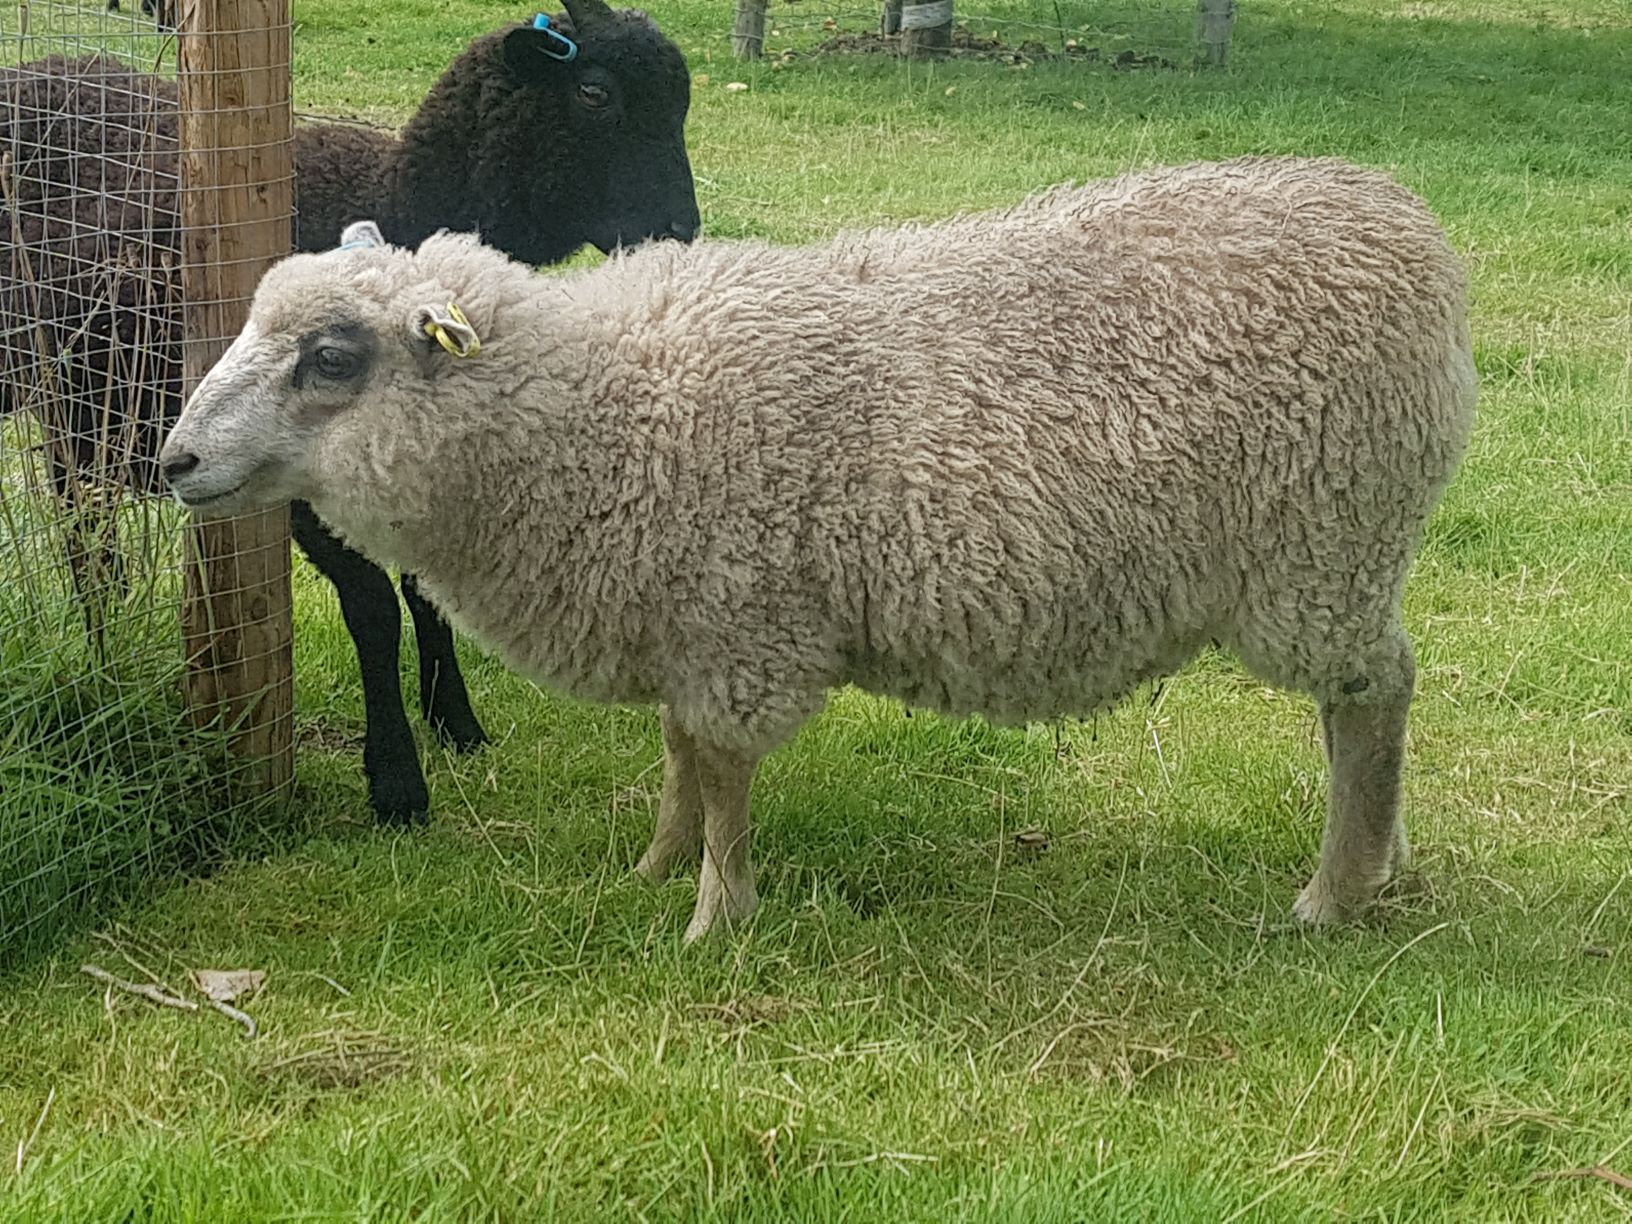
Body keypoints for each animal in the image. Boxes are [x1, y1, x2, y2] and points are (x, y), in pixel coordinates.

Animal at [0, 0, 700, 823]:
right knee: (89, 546)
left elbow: (426, 592)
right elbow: (374, 608)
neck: (395, 200)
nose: (681, 230)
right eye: (595, 92)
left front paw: (456, 723)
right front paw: (396, 779)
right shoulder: (288, 473)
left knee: (87, 542)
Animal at [158, 156, 1479, 941]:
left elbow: (727, 777)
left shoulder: (739, 625)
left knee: (1373, 699)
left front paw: (717, 918)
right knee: (1373, 705)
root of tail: (1402, 224)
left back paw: (1331, 894)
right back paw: (1384, 860)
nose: (170, 462)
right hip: (1343, 557)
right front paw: (655, 870)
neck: (602, 409)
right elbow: (684, 761)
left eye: (332, 358)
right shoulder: (686, 621)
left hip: (1322, 549)